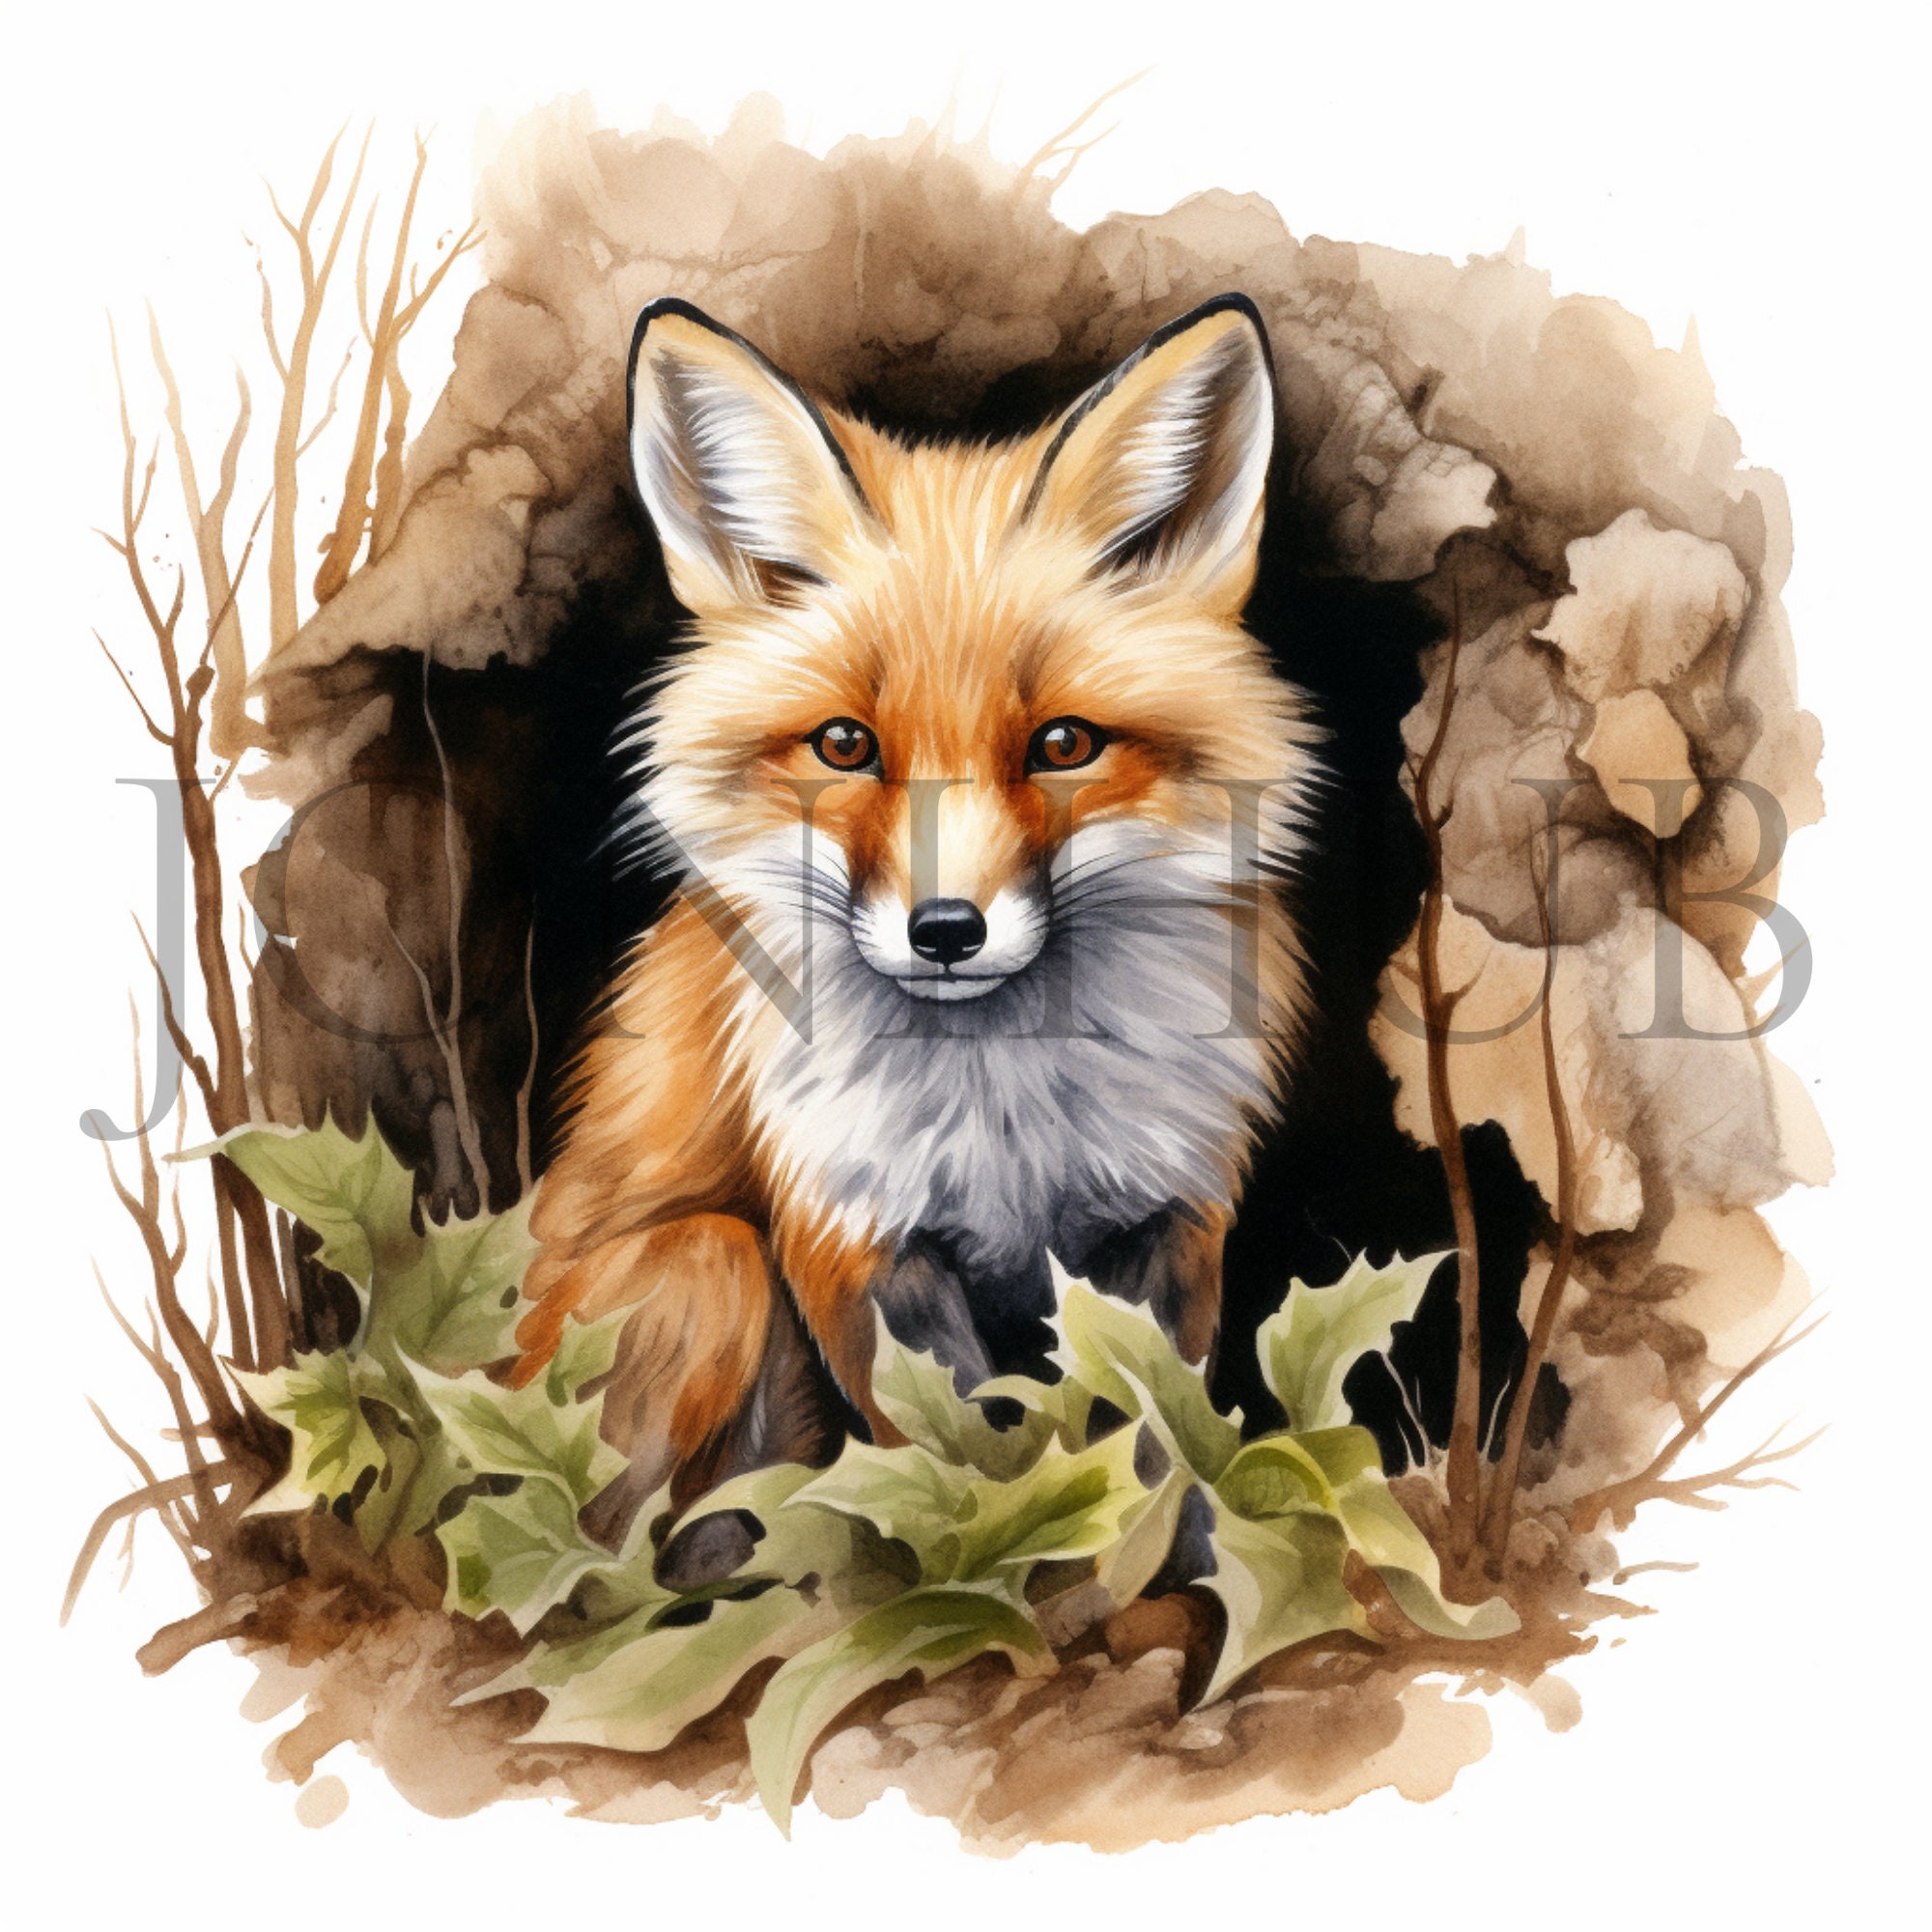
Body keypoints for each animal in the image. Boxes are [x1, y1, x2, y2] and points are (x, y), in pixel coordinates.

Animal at [511, 292, 1320, 1538]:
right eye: (845, 744)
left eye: (1063, 743)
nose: (945, 931)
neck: (1009, 1108)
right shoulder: (850, 1238)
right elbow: (967, 1466)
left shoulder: (1169, 1217)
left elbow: (1147, 1448)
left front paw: (1167, 1555)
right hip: (710, 1261)